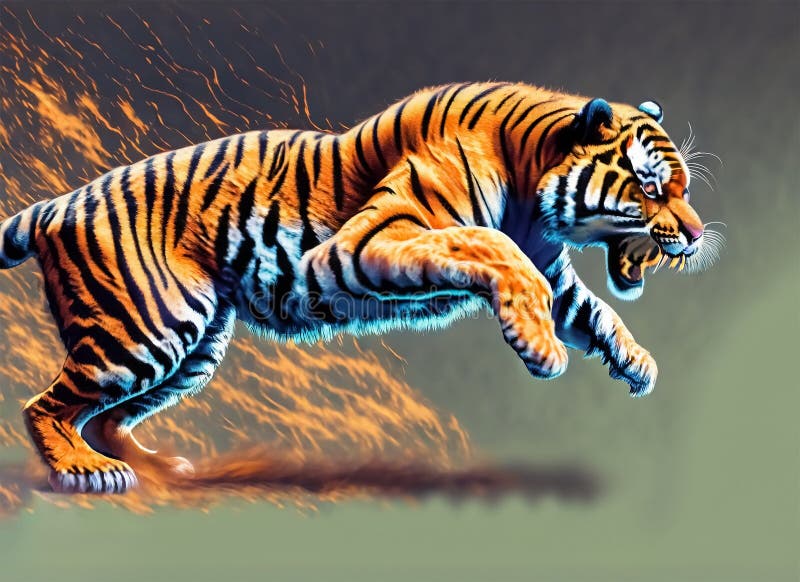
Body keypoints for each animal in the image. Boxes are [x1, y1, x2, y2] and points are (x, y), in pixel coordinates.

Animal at [0, 82, 716, 494]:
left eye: (683, 189)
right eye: (651, 187)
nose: (696, 233)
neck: (528, 177)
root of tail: (56, 203)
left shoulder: (552, 270)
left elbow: (595, 311)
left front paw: (637, 363)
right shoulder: (371, 239)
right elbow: (491, 248)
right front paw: (541, 351)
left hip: (193, 348)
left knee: (107, 416)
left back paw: (158, 469)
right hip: (144, 329)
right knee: (45, 405)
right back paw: (82, 471)